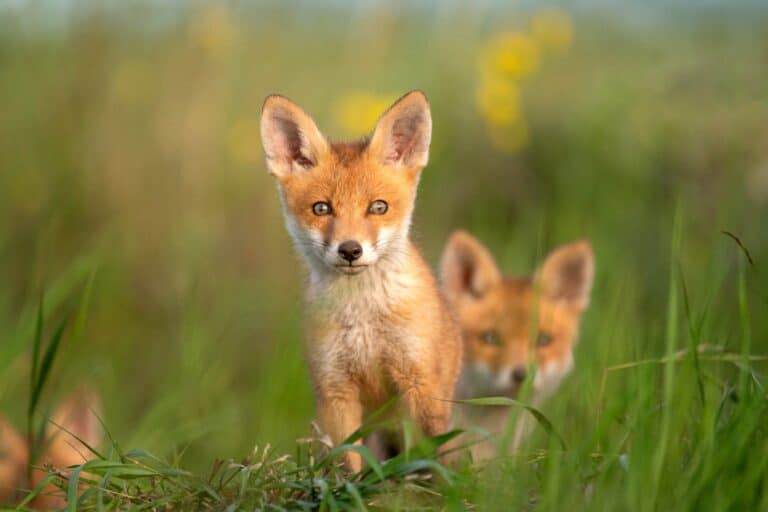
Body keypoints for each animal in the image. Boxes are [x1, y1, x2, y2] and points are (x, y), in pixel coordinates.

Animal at [259, 90, 463, 471]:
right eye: (321, 209)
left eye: (378, 207)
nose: (351, 250)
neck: (364, 317)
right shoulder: (336, 389)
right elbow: (345, 463)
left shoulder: (418, 382)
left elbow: (429, 456)